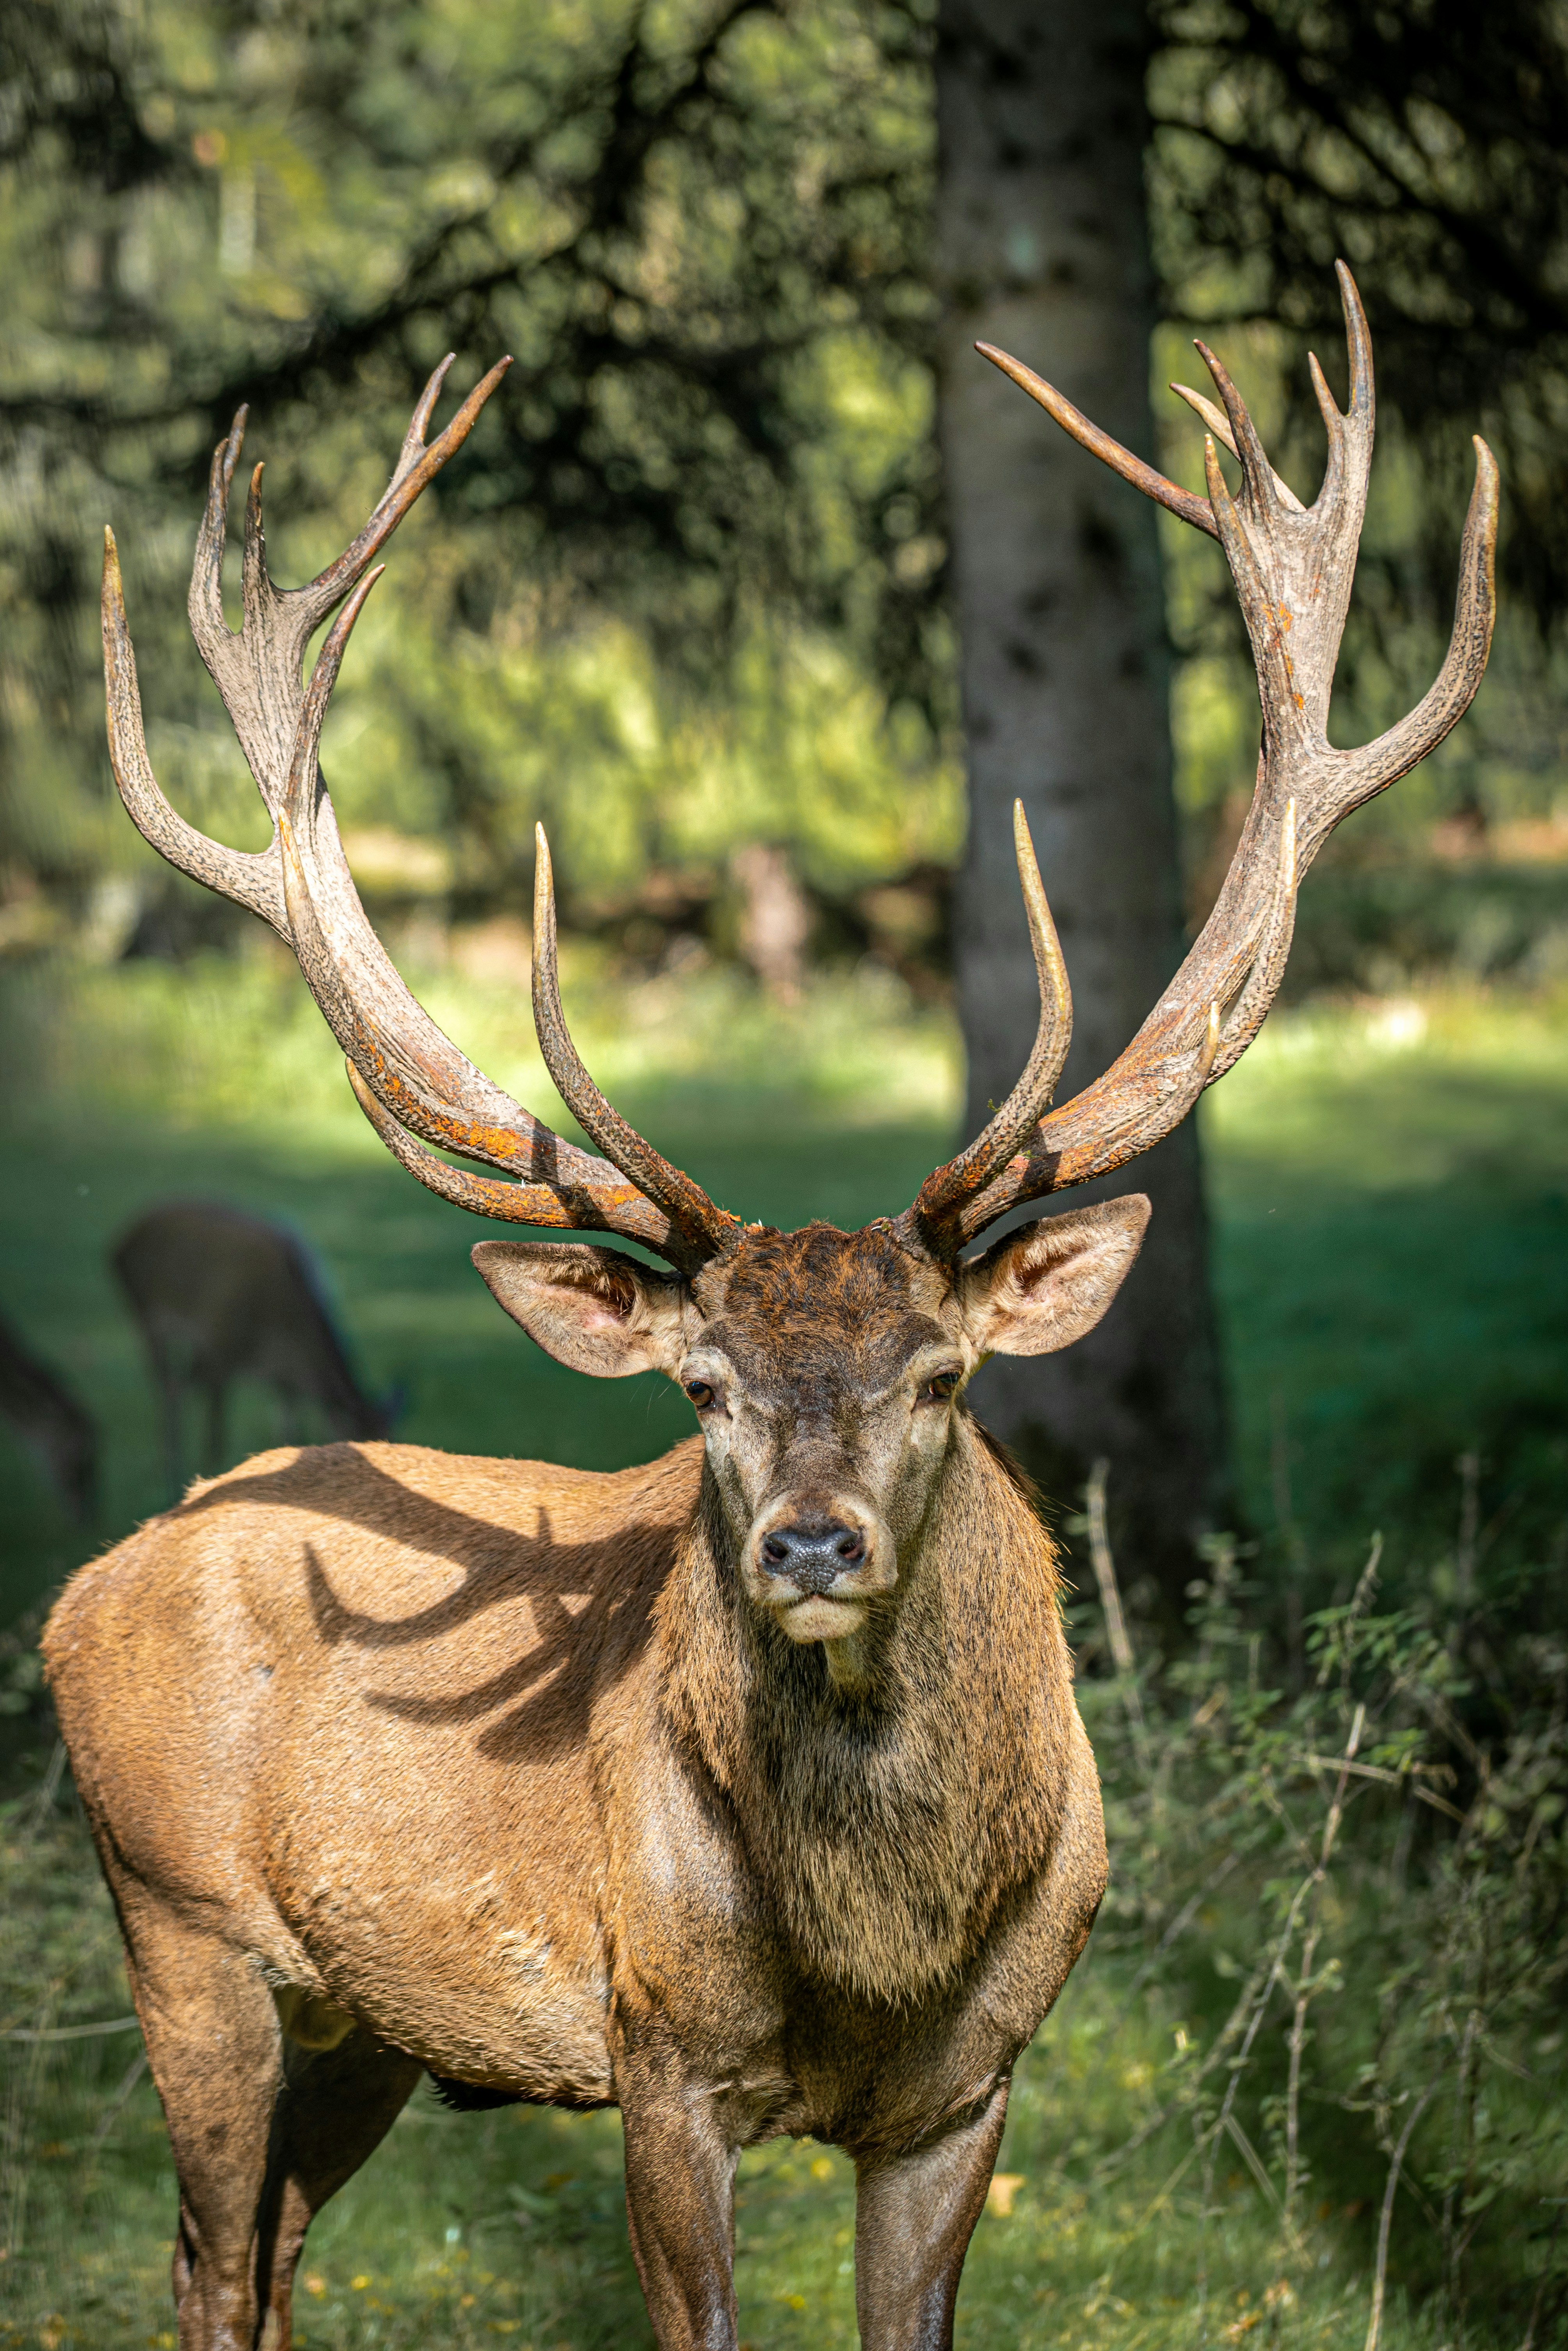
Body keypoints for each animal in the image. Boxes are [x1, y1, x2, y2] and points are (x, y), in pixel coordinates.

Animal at [112, 1200, 399, 1497]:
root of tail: (119, 1243)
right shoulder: (220, 1349)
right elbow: (216, 1440)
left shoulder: (282, 1379)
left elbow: (290, 1434)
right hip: (146, 1315)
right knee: (167, 1387)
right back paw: (172, 1473)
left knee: (178, 1386)